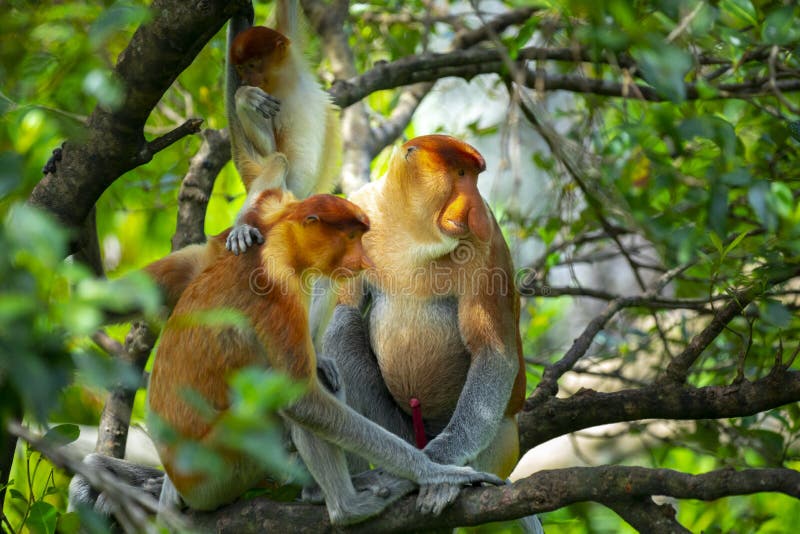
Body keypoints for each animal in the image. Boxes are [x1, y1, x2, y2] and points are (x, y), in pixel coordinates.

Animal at [224, 0, 341, 255]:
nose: (246, 80)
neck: (283, 76)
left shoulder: (291, 45)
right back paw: (242, 226)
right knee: (278, 161)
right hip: (279, 197)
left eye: (251, 65)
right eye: (240, 68)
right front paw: (245, 97)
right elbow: (269, 149)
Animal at [321, 135, 543, 531]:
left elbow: (492, 351)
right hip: (401, 430)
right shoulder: (363, 207)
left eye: (474, 177)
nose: (474, 204)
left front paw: (440, 468)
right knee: (343, 323)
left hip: (502, 441)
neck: (415, 233)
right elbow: (341, 305)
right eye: (461, 174)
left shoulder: (485, 242)